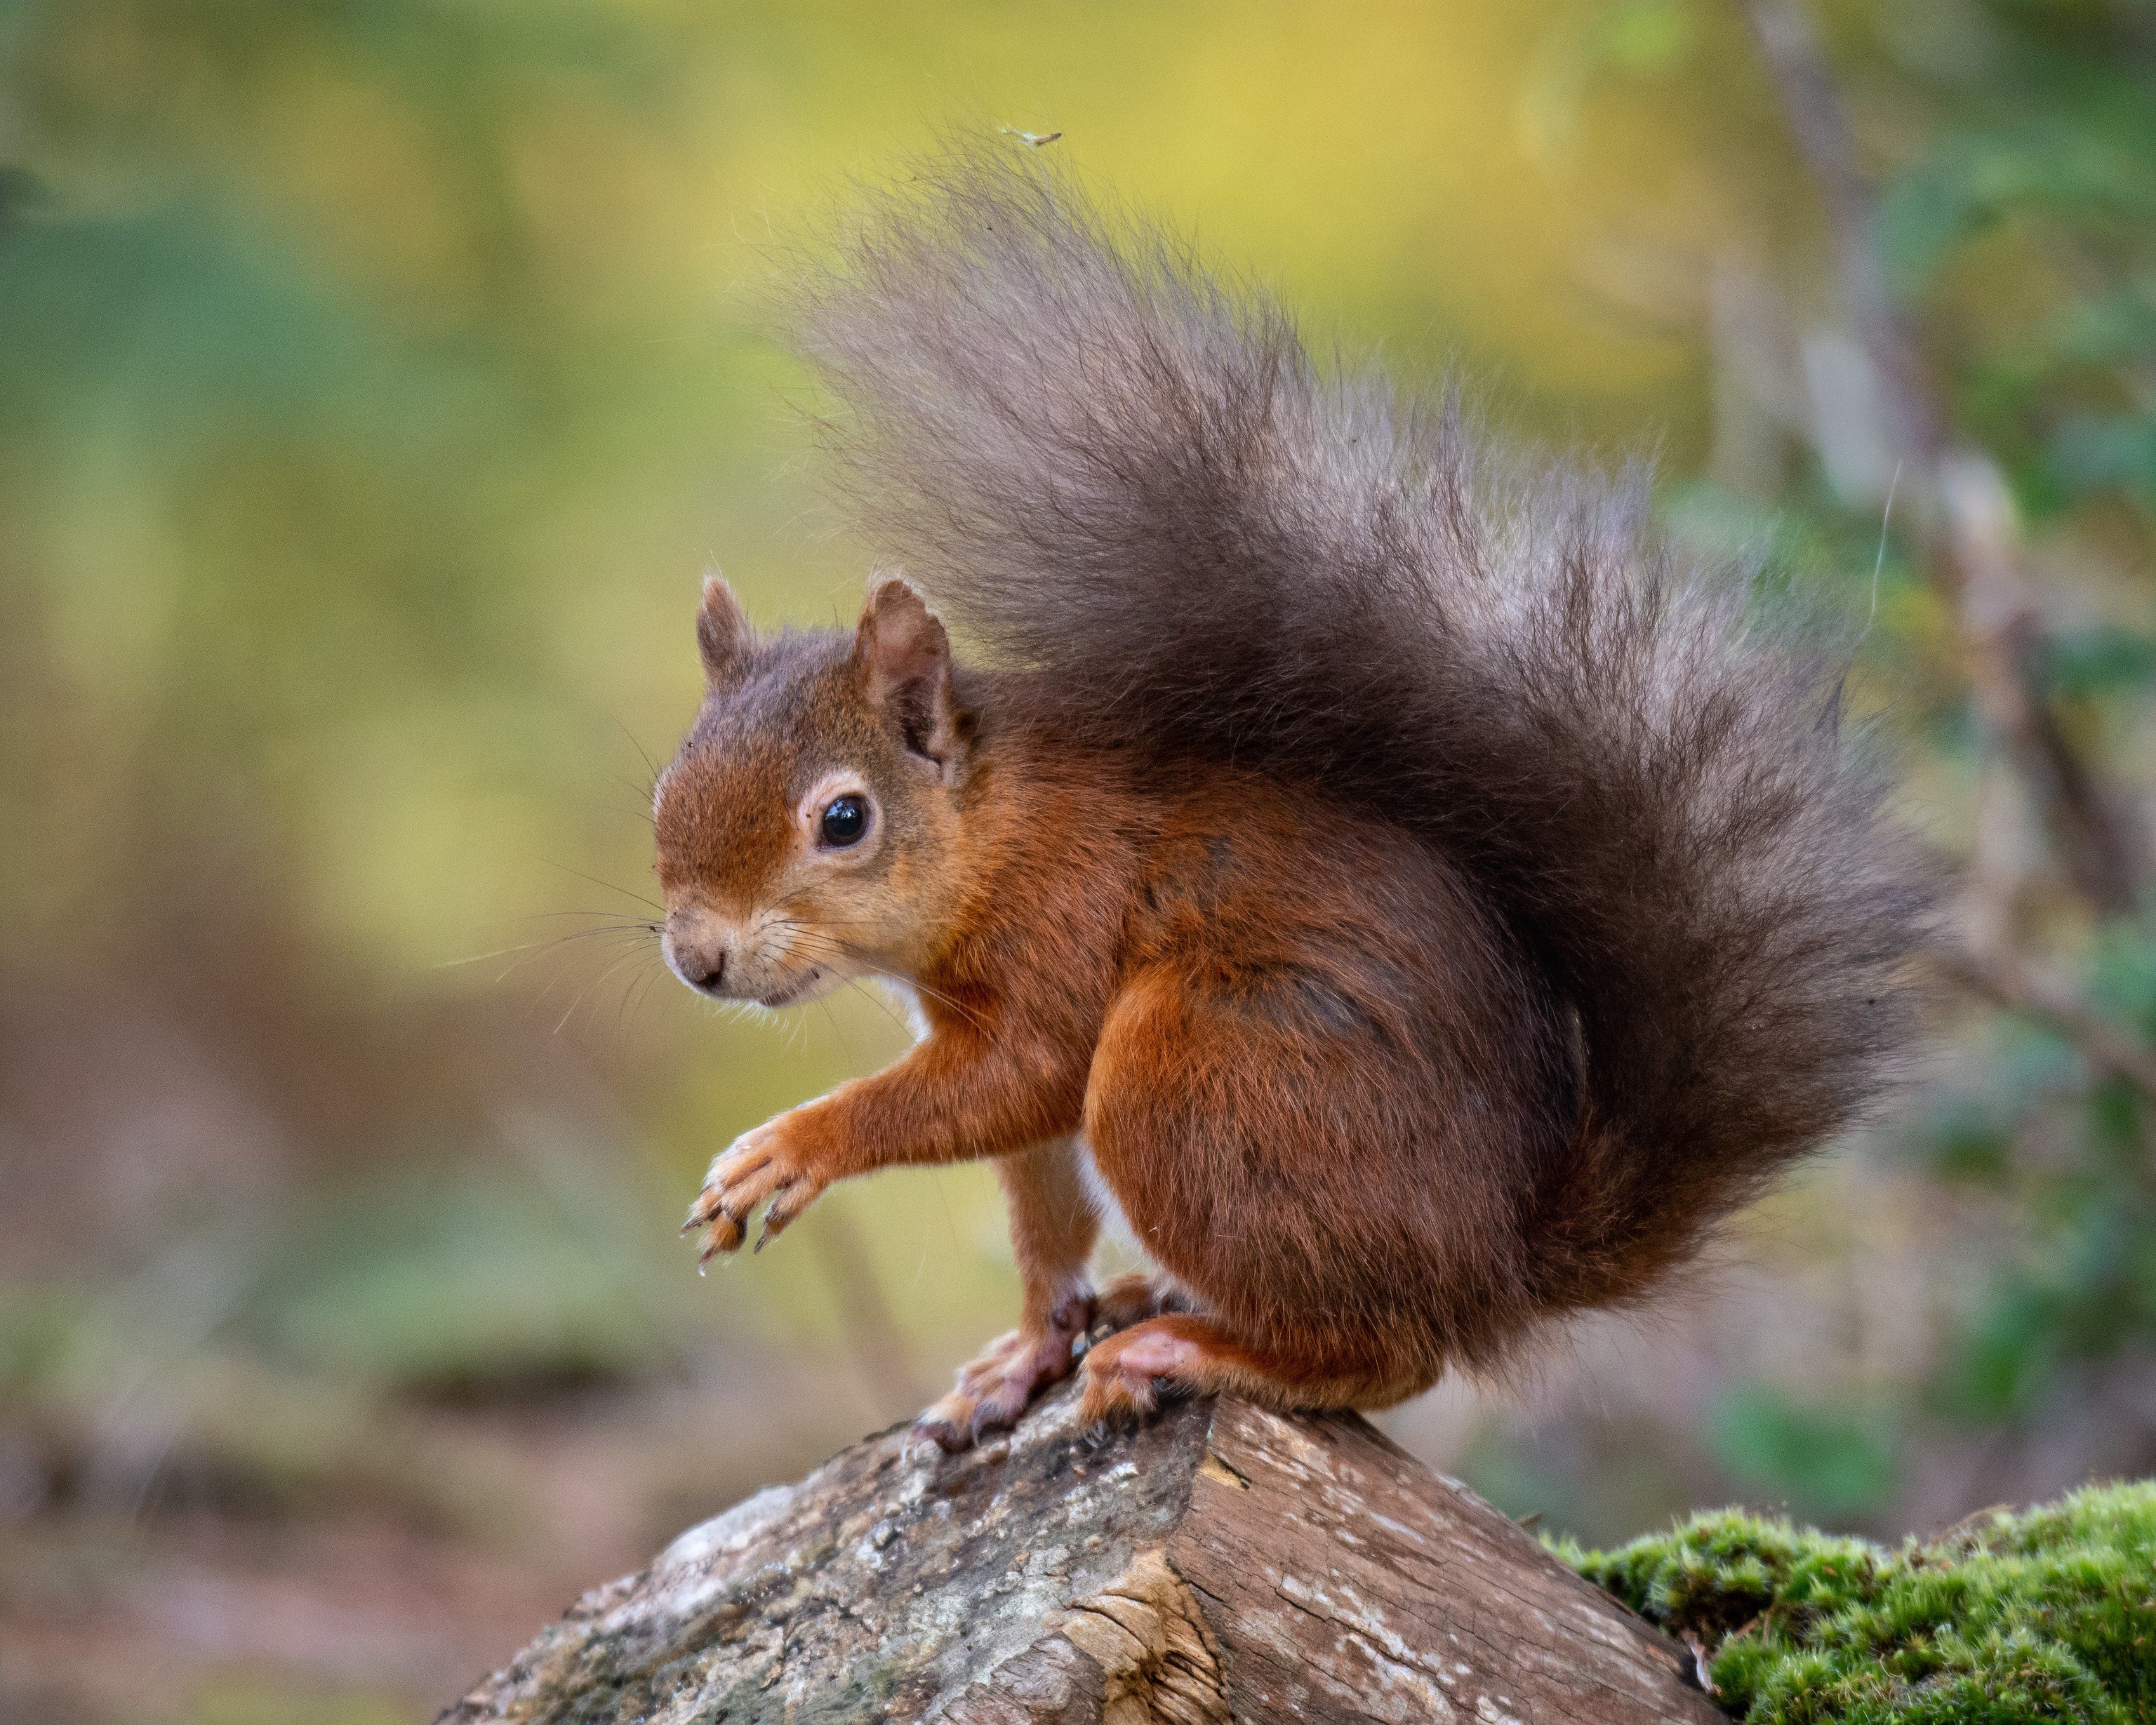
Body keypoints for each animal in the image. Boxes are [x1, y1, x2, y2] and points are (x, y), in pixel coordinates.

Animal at [655, 152, 1928, 1452]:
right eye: (668, 781)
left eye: (843, 819)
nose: (697, 959)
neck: (993, 830)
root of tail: (1499, 1265)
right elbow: (1039, 1205)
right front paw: (1024, 1351)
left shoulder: (1060, 928)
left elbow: (1021, 1078)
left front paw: (790, 1148)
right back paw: (1144, 1301)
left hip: (1201, 1076)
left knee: (1387, 1352)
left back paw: (1189, 1345)